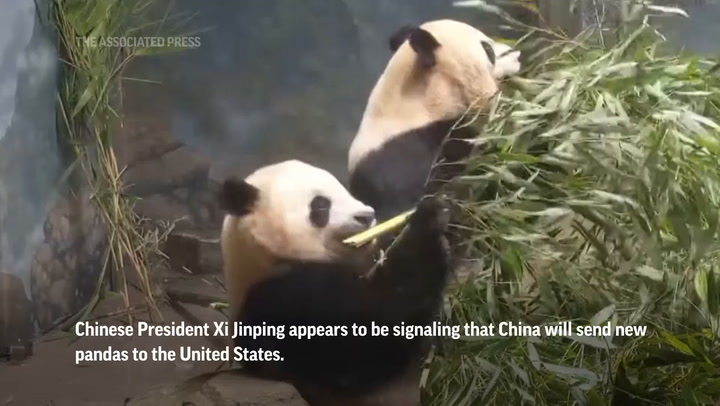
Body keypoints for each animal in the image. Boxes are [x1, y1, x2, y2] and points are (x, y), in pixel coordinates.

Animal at [217, 159, 454, 405]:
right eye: (321, 205)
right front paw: (429, 219)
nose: (366, 215)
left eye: (344, 190)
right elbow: (368, 335)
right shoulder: (285, 303)